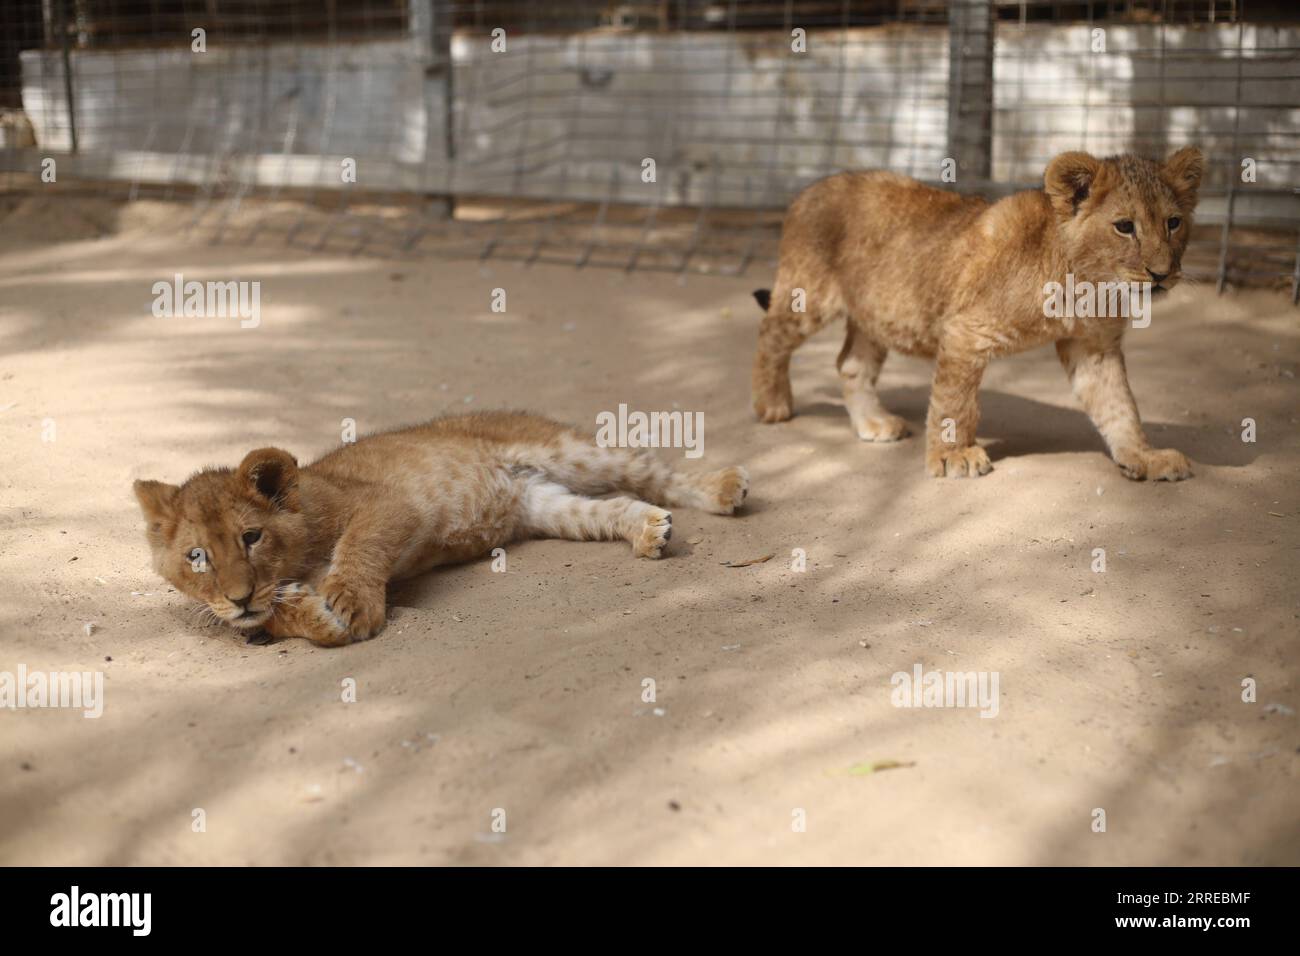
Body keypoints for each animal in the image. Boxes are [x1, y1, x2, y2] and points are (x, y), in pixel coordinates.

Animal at [132, 411, 749, 647]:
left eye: (251, 538)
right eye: (196, 557)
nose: (237, 597)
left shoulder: (386, 504)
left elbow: (359, 547)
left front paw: (352, 604)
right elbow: (274, 614)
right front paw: (318, 618)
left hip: (568, 450)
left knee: (653, 472)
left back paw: (725, 489)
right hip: (548, 506)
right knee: (615, 505)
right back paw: (649, 530)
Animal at [751, 148, 1204, 480]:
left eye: (1174, 222)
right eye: (1124, 226)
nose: (1162, 274)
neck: (1089, 286)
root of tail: (806, 191)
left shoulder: (1093, 346)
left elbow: (1120, 406)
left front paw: (1144, 456)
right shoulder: (965, 331)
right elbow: (955, 403)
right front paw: (953, 456)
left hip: (874, 312)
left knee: (850, 364)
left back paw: (874, 423)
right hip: (809, 297)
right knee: (770, 335)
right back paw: (771, 404)